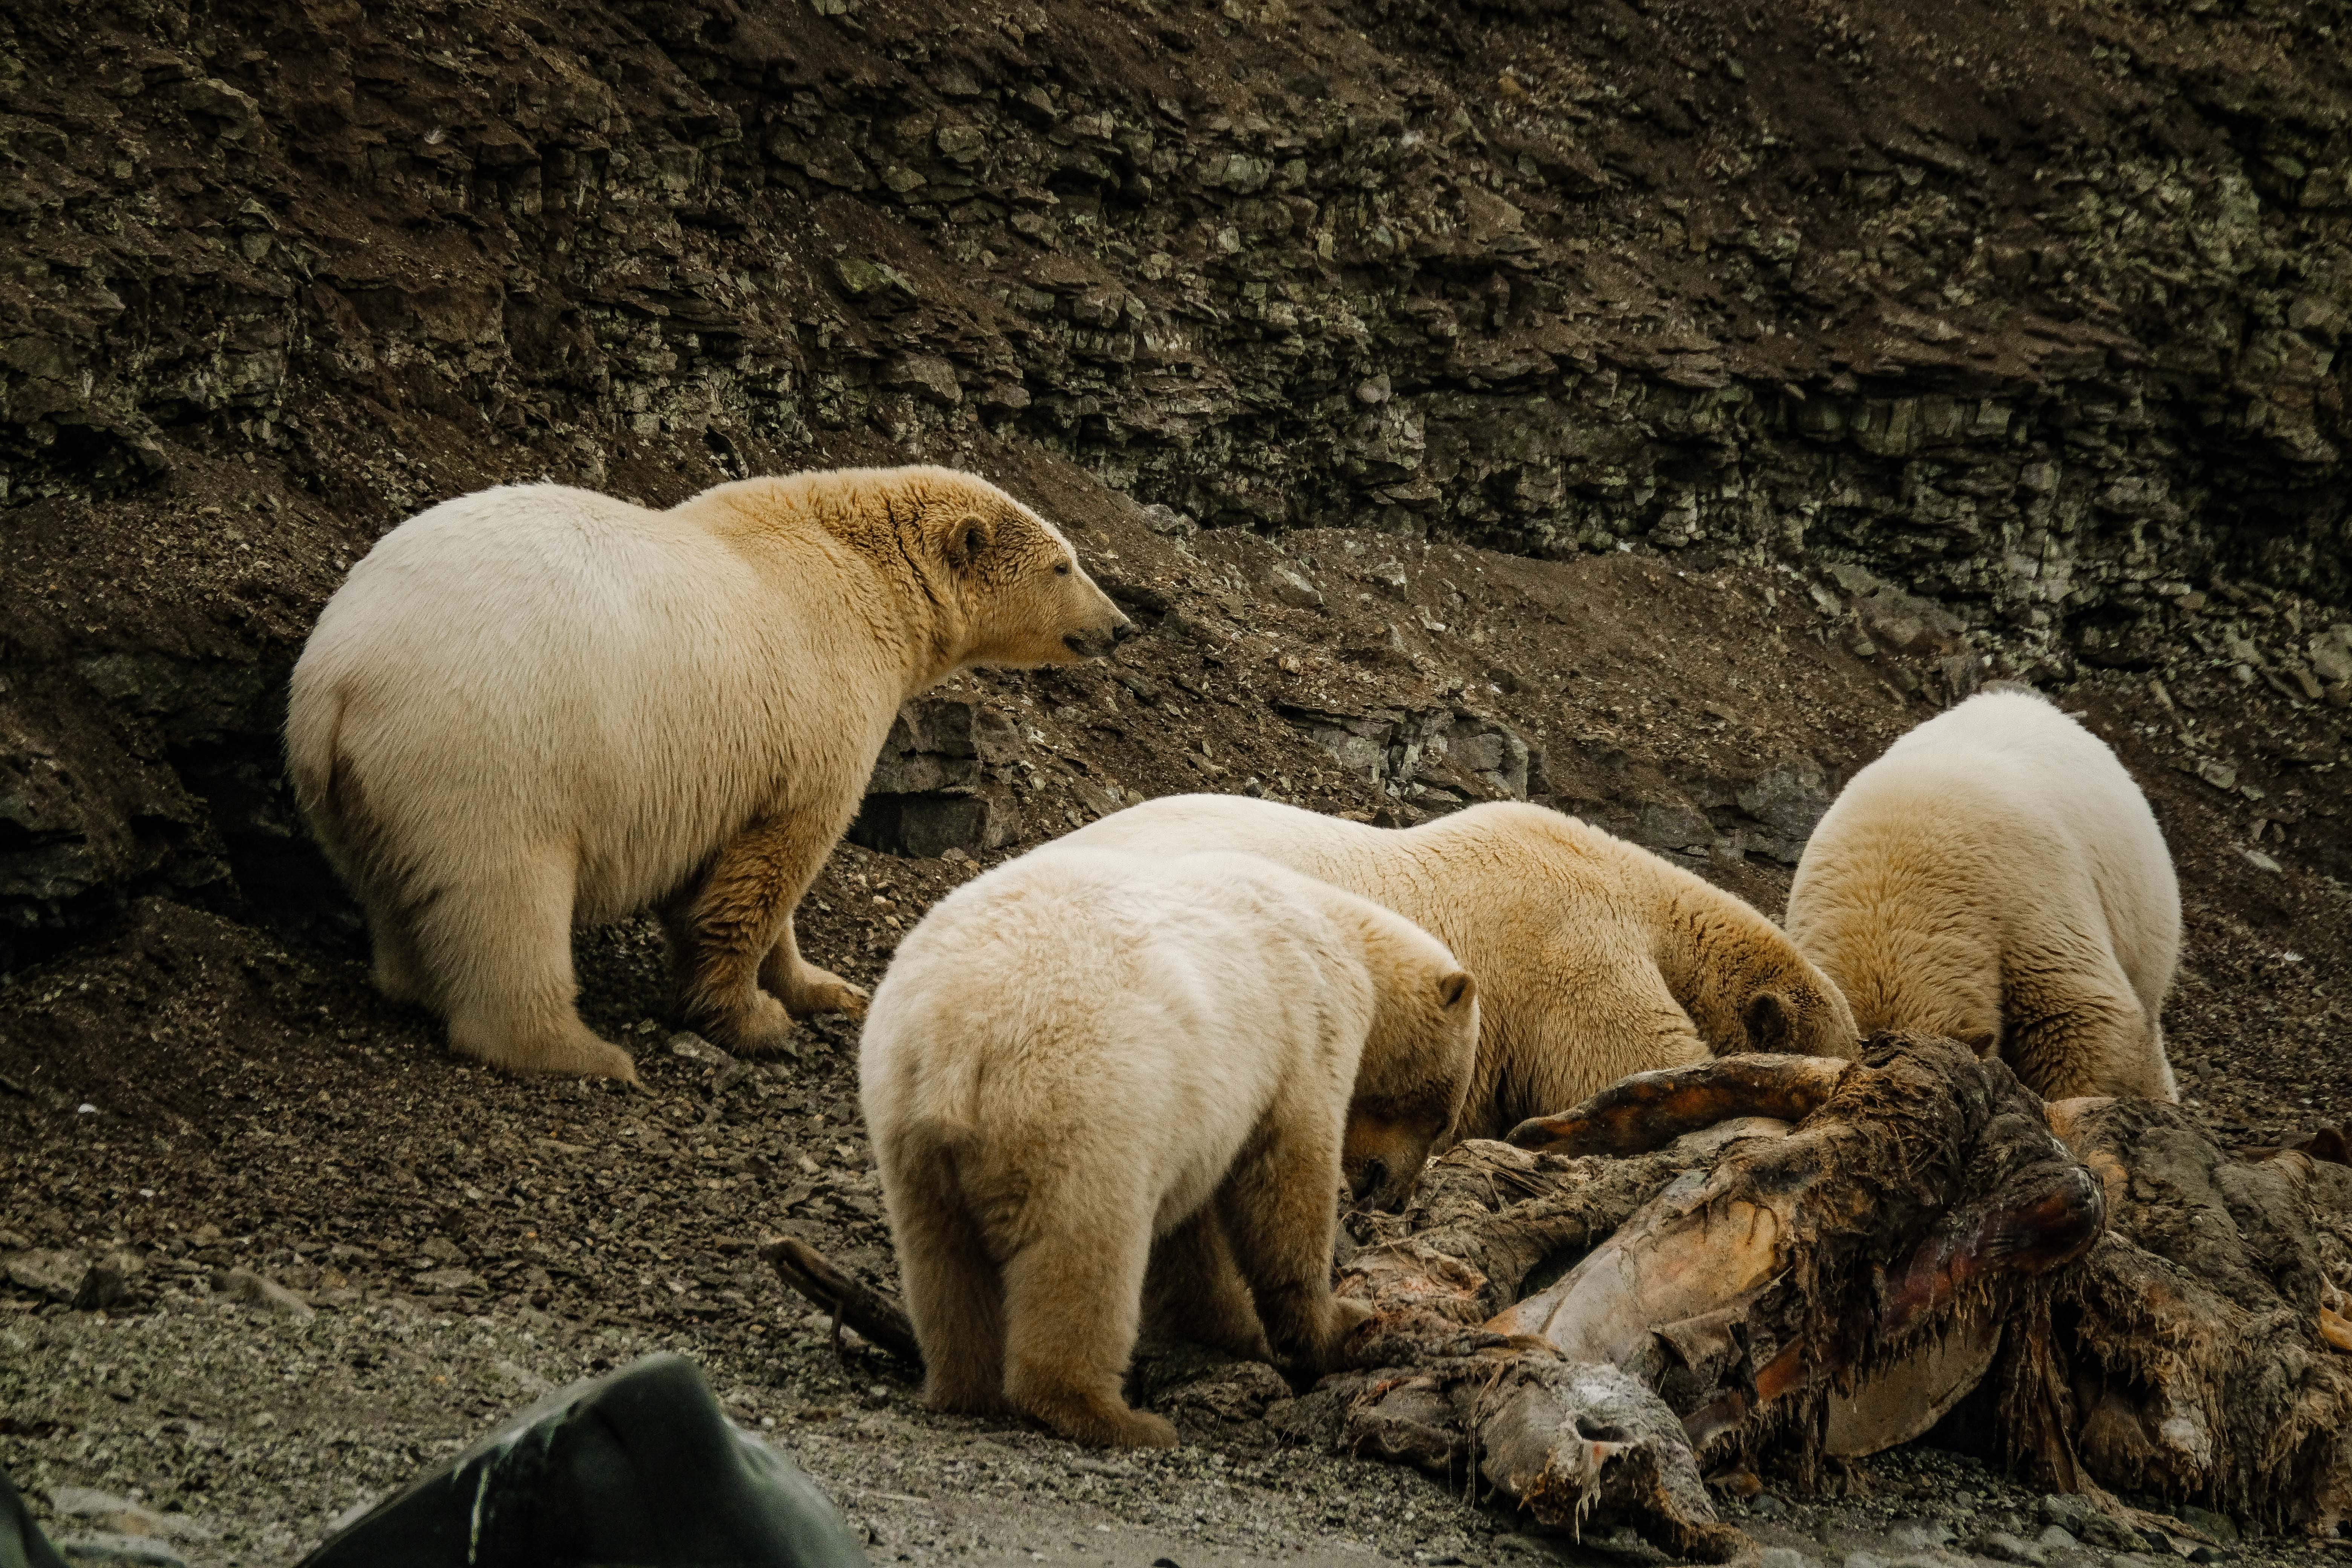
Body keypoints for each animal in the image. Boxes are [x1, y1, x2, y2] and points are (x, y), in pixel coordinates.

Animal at [286, 466, 1132, 1083]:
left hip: (359, 784)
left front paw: (824, 986)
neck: (867, 572)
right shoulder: (811, 707)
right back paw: (582, 1052)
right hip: (490, 750)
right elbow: (768, 870)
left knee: (393, 884)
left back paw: (408, 980)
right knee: (507, 897)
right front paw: (751, 1018)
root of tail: (340, 679)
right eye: (1064, 564)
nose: (1122, 627)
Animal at [860, 845, 1478, 1449]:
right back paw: (1110, 1416)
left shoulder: (1203, 1113)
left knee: (940, 1257)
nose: (1397, 1197)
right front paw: (1341, 1325)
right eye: (1440, 1117)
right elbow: (1286, 1184)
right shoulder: (1308, 1030)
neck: (1348, 938)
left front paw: (1235, 1328)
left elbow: (1192, 1236)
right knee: (1085, 1252)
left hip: (905, 1120)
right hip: (1082, 1103)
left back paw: (966, 1385)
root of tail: (956, 1036)